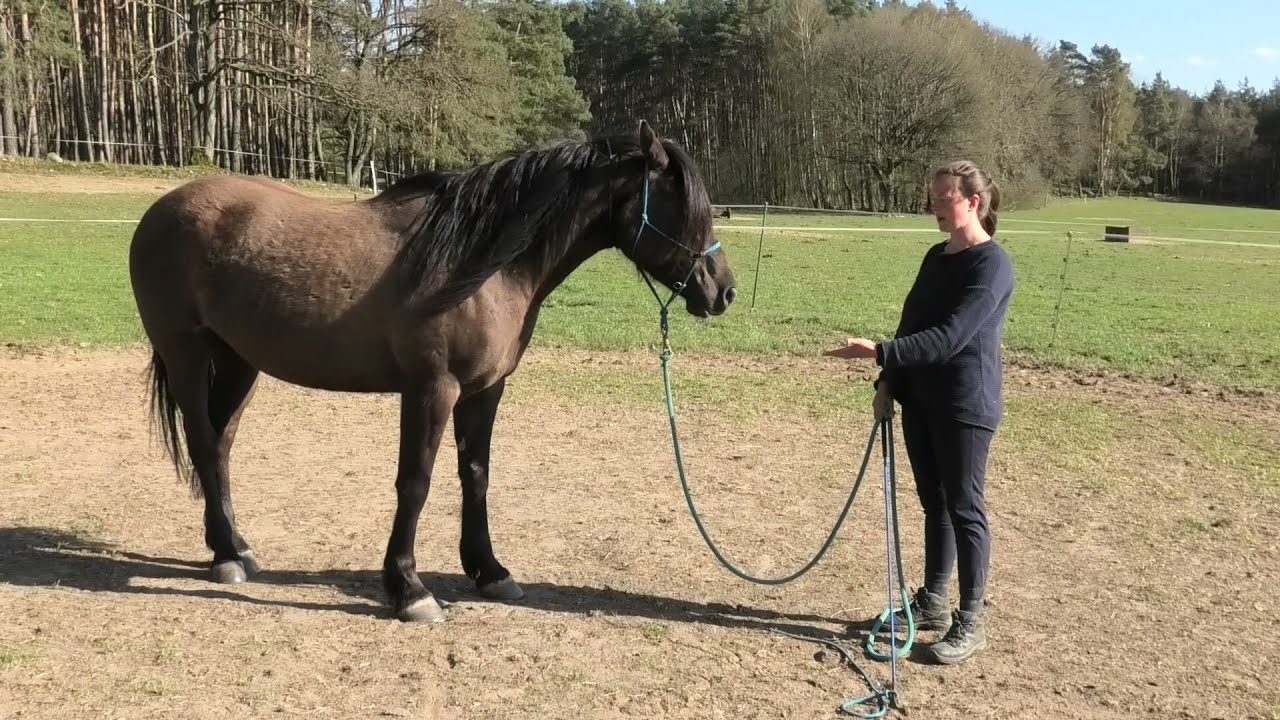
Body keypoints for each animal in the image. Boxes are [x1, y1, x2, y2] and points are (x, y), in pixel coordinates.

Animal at [127, 120, 737, 622]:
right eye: (682, 207)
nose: (723, 292)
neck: (480, 265)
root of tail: (162, 210)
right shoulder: (431, 389)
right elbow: (415, 482)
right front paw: (410, 590)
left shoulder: (485, 391)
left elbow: (476, 475)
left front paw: (490, 571)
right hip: (186, 352)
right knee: (203, 441)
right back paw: (227, 557)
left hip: (239, 361)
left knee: (221, 443)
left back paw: (234, 547)